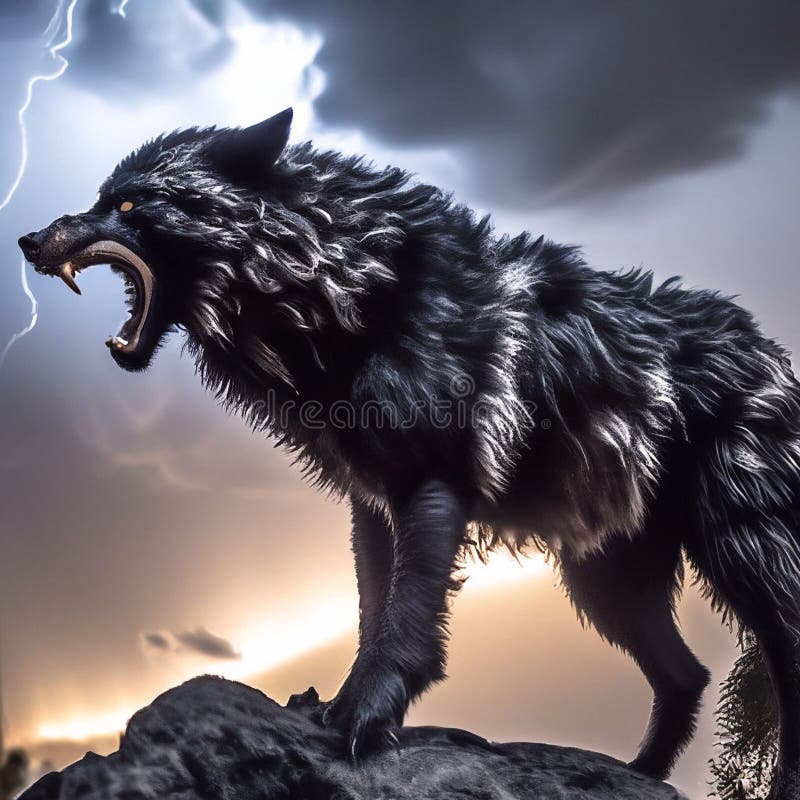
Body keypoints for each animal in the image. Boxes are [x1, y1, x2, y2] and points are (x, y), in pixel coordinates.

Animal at [19, 108, 800, 797]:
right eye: (100, 197)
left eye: (127, 202)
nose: (26, 239)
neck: (350, 292)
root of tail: (773, 353)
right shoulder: (373, 502)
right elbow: (371, 613)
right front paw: (337, 709)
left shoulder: (431, 488)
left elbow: (406, 619)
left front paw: (366, 720)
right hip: (607, 584)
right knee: (687, 674)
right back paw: (639, 774)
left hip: (741, 557)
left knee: (775, 657)